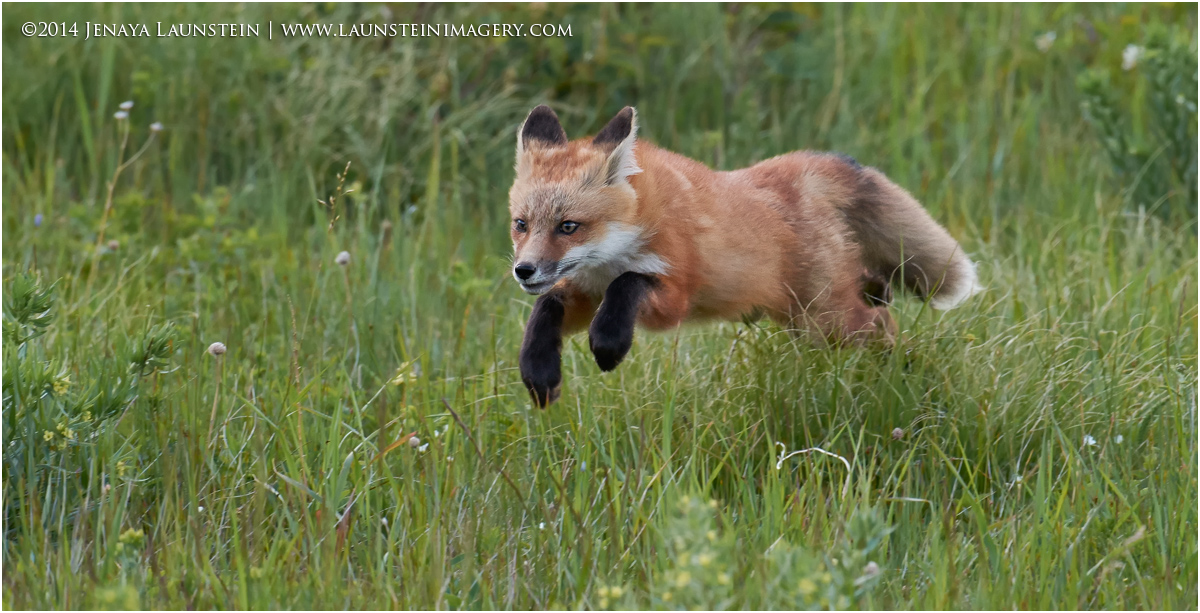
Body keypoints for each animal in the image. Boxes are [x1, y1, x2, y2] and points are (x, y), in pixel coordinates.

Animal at [509, 104, 981, 407]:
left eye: (569, 226)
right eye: (521, 224)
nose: (523, 270)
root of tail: (799, 166)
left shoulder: (672, 294)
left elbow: (629, 283)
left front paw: (608, 346)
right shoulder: (586, 292)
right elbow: (546, 308)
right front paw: (539, 374)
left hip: (827, 323)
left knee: (883, 325)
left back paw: (910, 372)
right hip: (804, 319)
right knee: (874, 294)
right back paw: (883, 303)